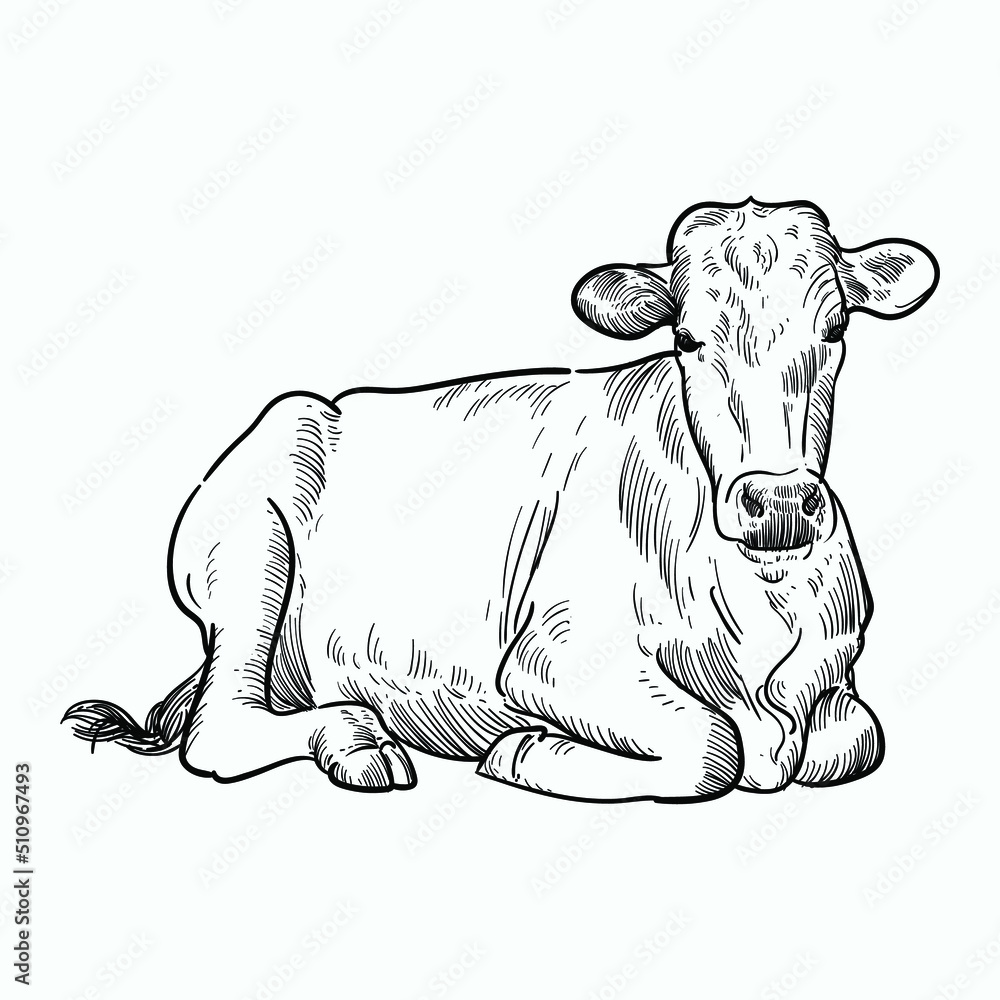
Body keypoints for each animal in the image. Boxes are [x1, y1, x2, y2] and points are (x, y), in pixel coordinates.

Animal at [64, 197, 939, 803]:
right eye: (688, 339)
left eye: (835, 328)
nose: (780, 502)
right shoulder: (552, 658)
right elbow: (710, 749)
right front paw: (523, 753)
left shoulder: (836, 676)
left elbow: (852, 740)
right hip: (250, 557)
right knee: (217, 727)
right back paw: (359, 742)